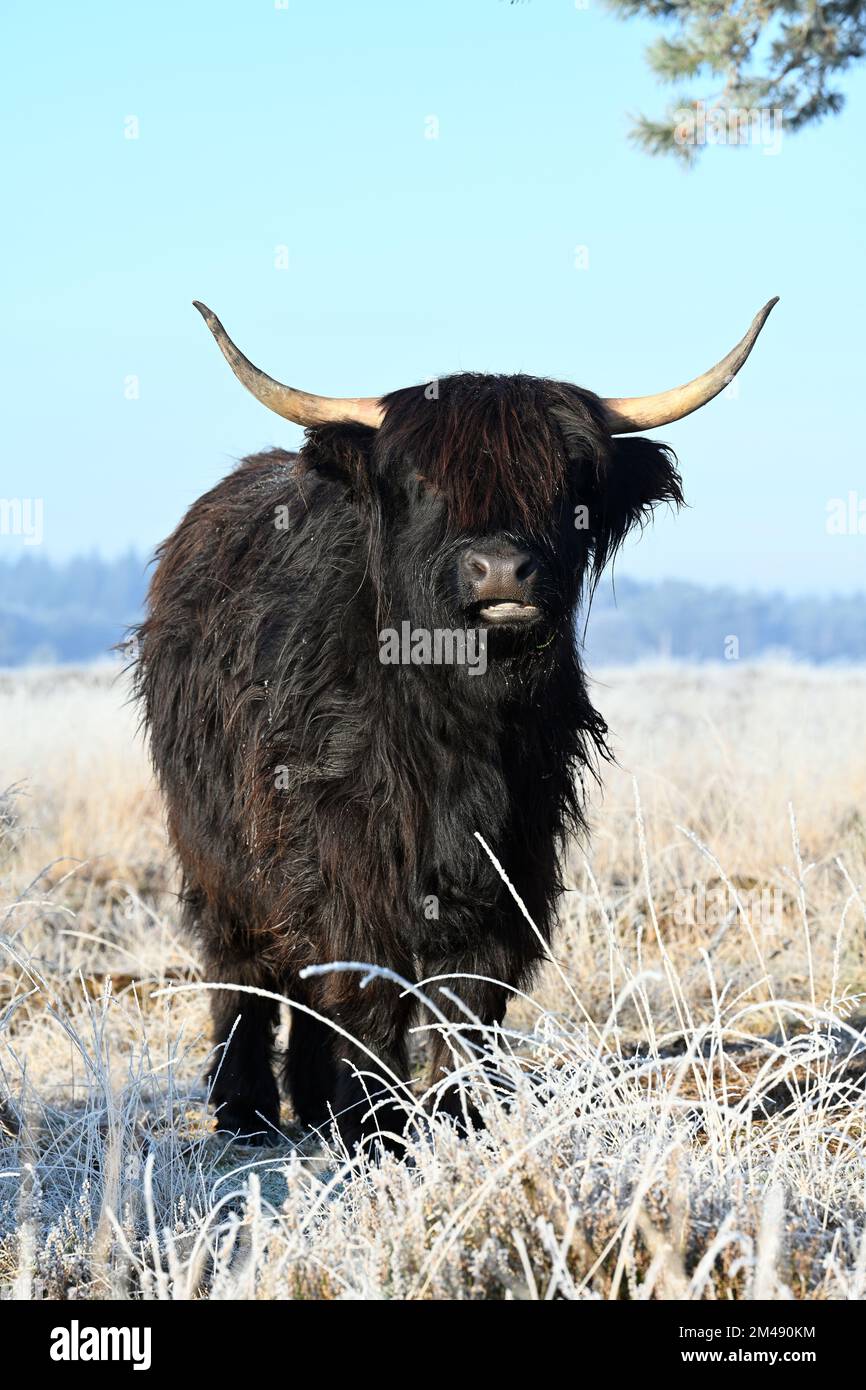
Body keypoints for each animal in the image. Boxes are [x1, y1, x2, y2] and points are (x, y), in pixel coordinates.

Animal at [134, 297, 777, 1149]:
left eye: (569, 479)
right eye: (421, 480)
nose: (501, 569)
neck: (461, 718)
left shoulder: (510, 858)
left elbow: (467, 1002)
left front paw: (455, 1120)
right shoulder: (346, 855)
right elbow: (365, 991)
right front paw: (374, 1127)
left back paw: (309, 1103)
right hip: (217, 845)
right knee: (243, 968)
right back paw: (246, 1112)